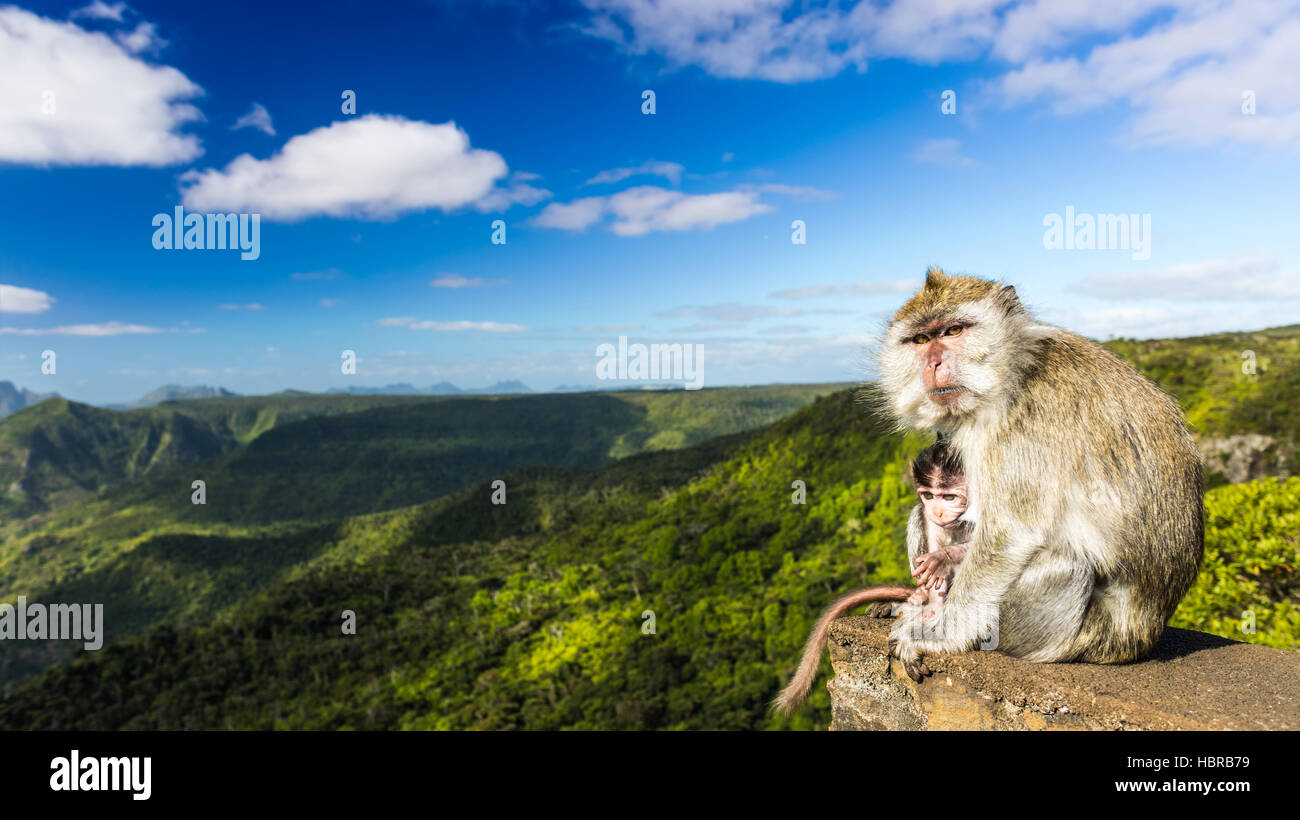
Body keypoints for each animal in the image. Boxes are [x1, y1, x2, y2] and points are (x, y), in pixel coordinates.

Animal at [875, 267, 1203, 682]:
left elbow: (1008, 534)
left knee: (1066, 563)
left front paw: (937, 635)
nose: (932, 365)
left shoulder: (1022, 425)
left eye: (954, 331)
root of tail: (1139, 639)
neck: (1015, 370)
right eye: (920, 339)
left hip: (1060, 638)